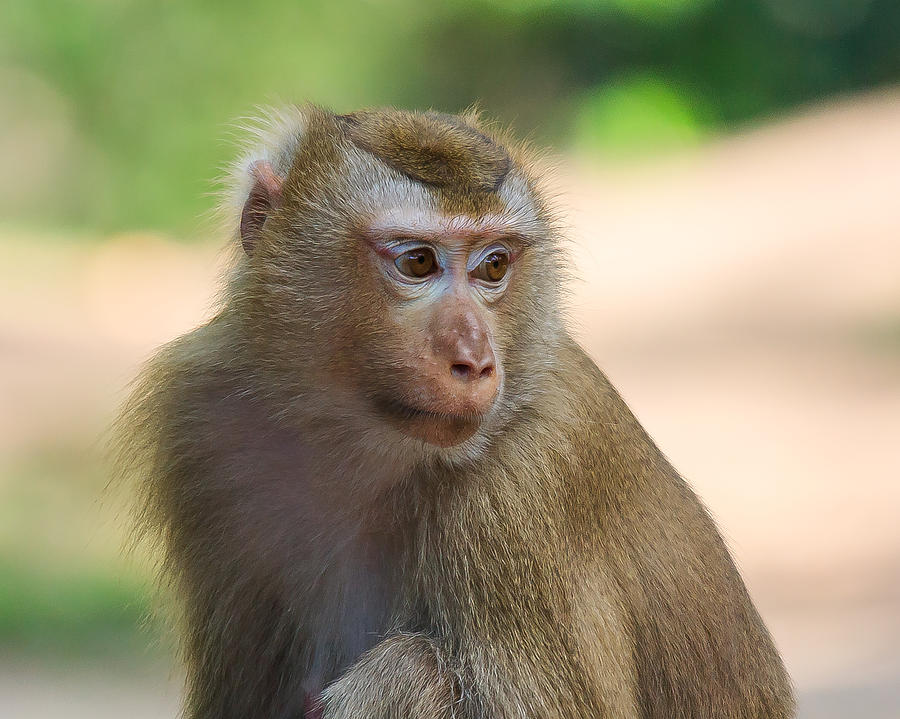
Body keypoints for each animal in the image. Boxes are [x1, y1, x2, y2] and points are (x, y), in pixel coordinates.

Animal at [115, 105, 795, 719]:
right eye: (418, 261)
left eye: (494, 265)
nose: (476, 360)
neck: (356, 444)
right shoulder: (201, 425)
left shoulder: (524, 488)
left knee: (409, 672)